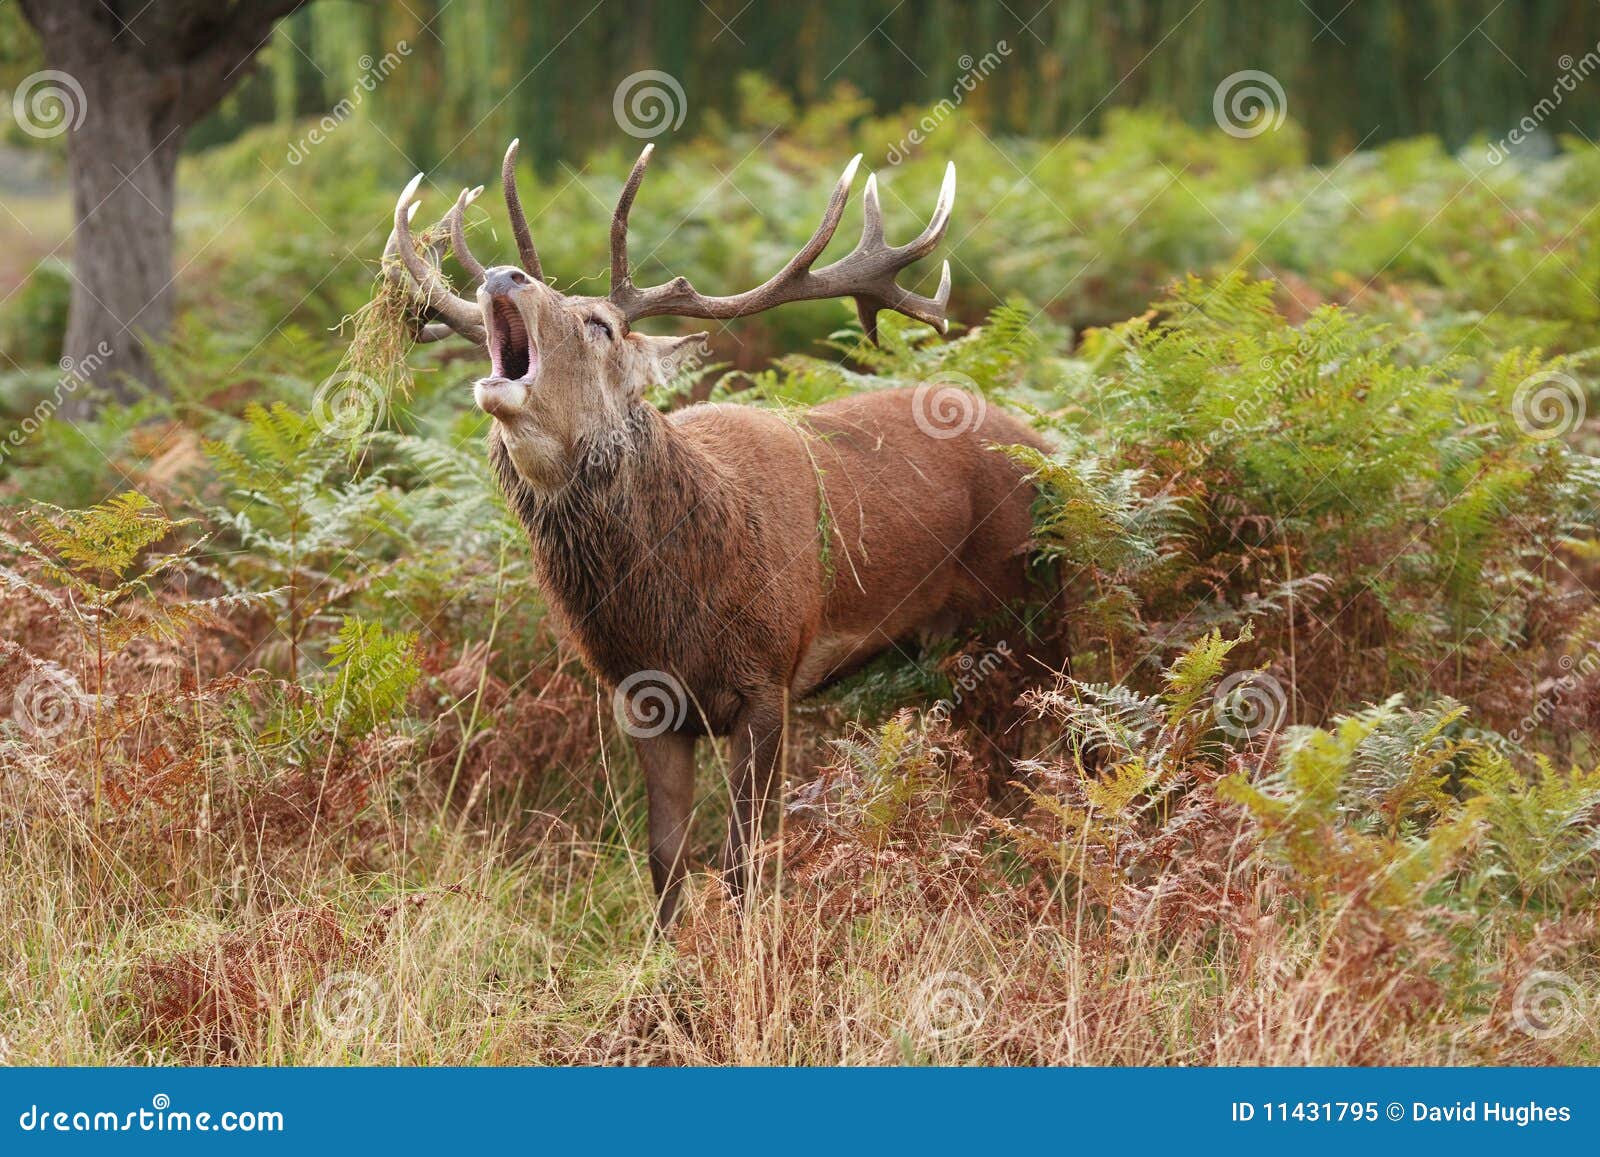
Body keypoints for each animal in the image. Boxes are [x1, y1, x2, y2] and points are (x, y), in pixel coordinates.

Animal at [379, 140, 1049, 926]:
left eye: (601, 325)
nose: (499, 274)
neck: (674, 617)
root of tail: (1045, 442)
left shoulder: (771, 680)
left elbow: (741, 857)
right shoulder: (640, 702)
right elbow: (665, 856)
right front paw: (667, 952)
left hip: (1017, 613)